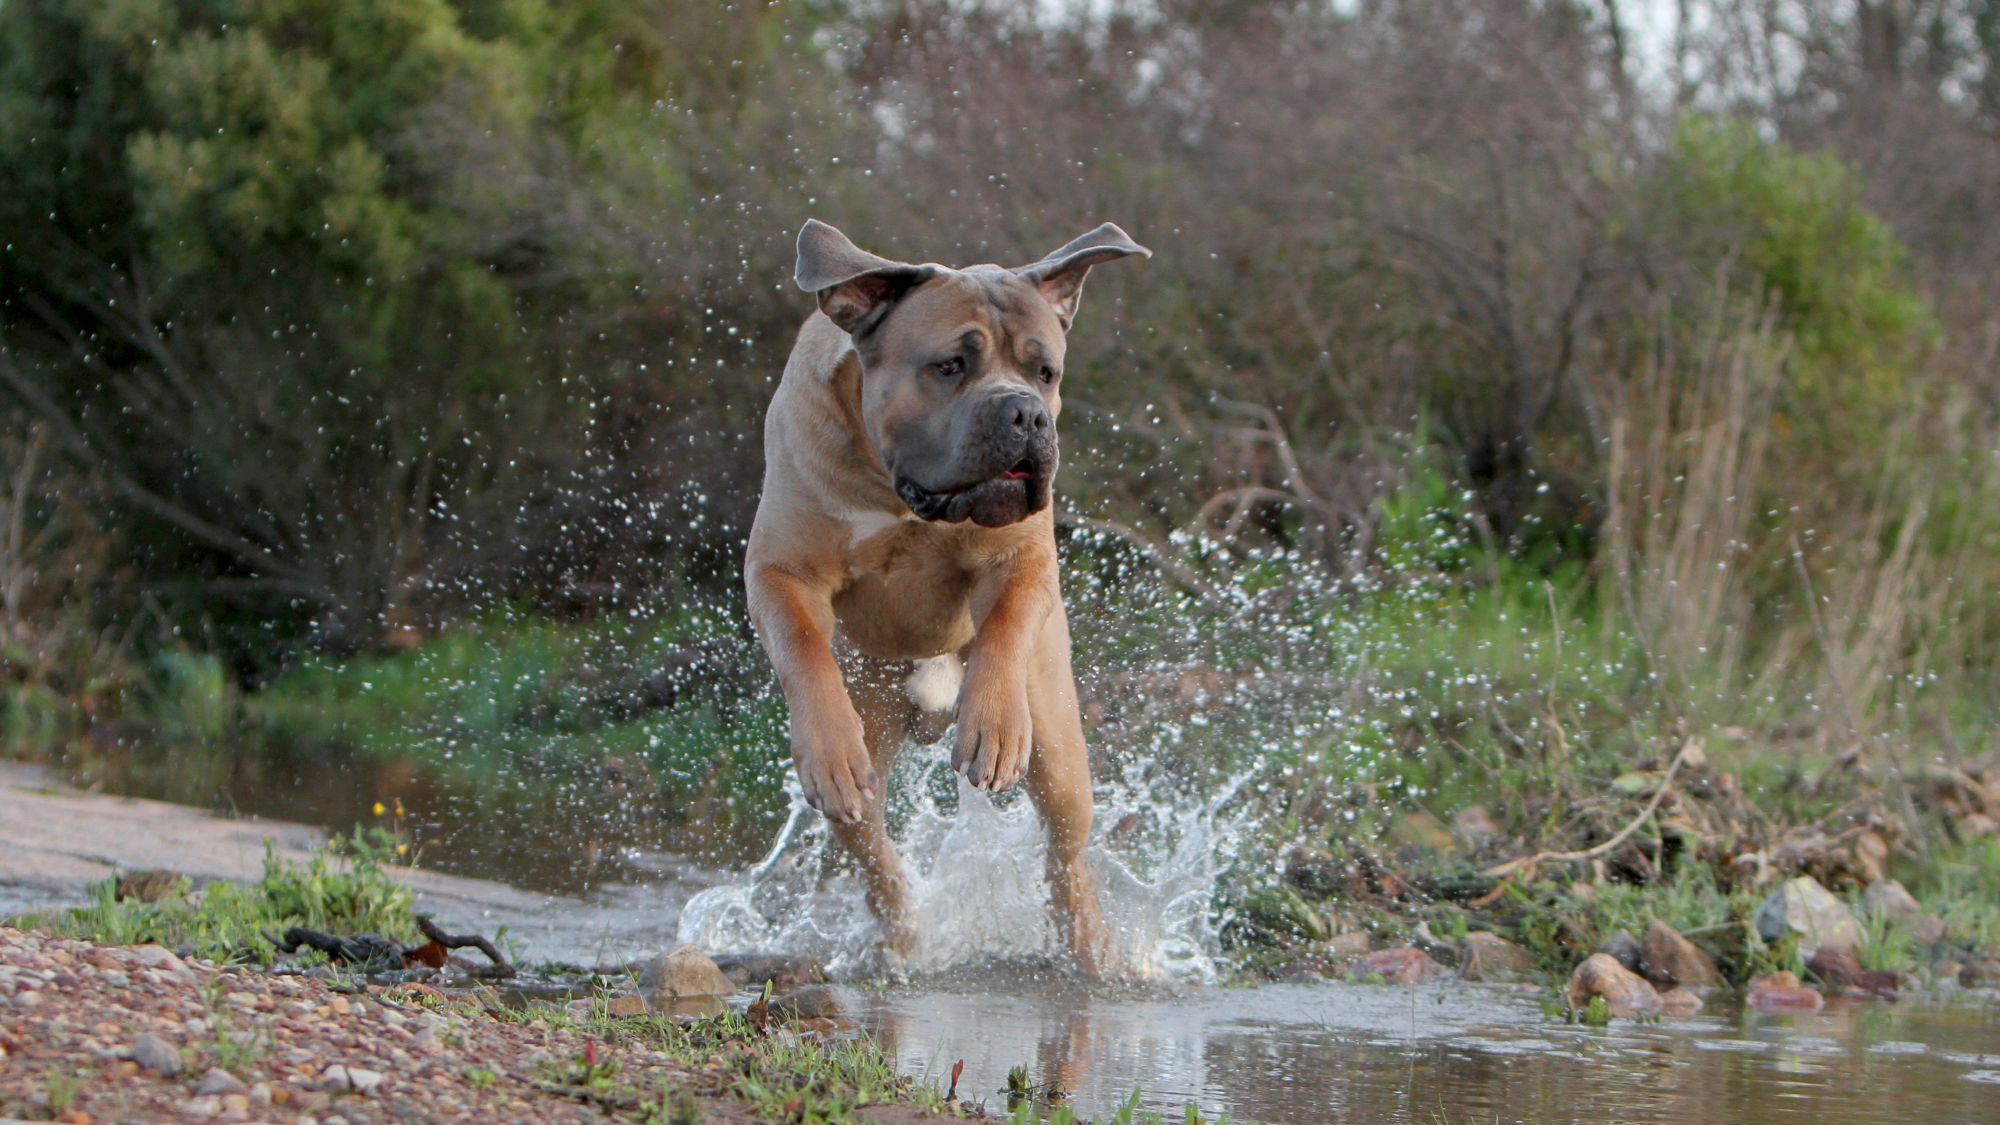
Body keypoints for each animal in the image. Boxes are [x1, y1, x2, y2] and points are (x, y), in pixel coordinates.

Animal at [748, 217, 1160, 972]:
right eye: (949, 366)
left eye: (1045, 373)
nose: (1025, 414)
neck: (900, 495)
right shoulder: (779, 569)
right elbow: (801, 642)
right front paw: (826, 743)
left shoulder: (1027, 555)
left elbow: (1006, 620)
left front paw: (993, 722)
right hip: (867, 756)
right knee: (874, 852)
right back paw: (901, 940)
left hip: (1060, 746)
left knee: (1066, 854)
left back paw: (1089, 948)